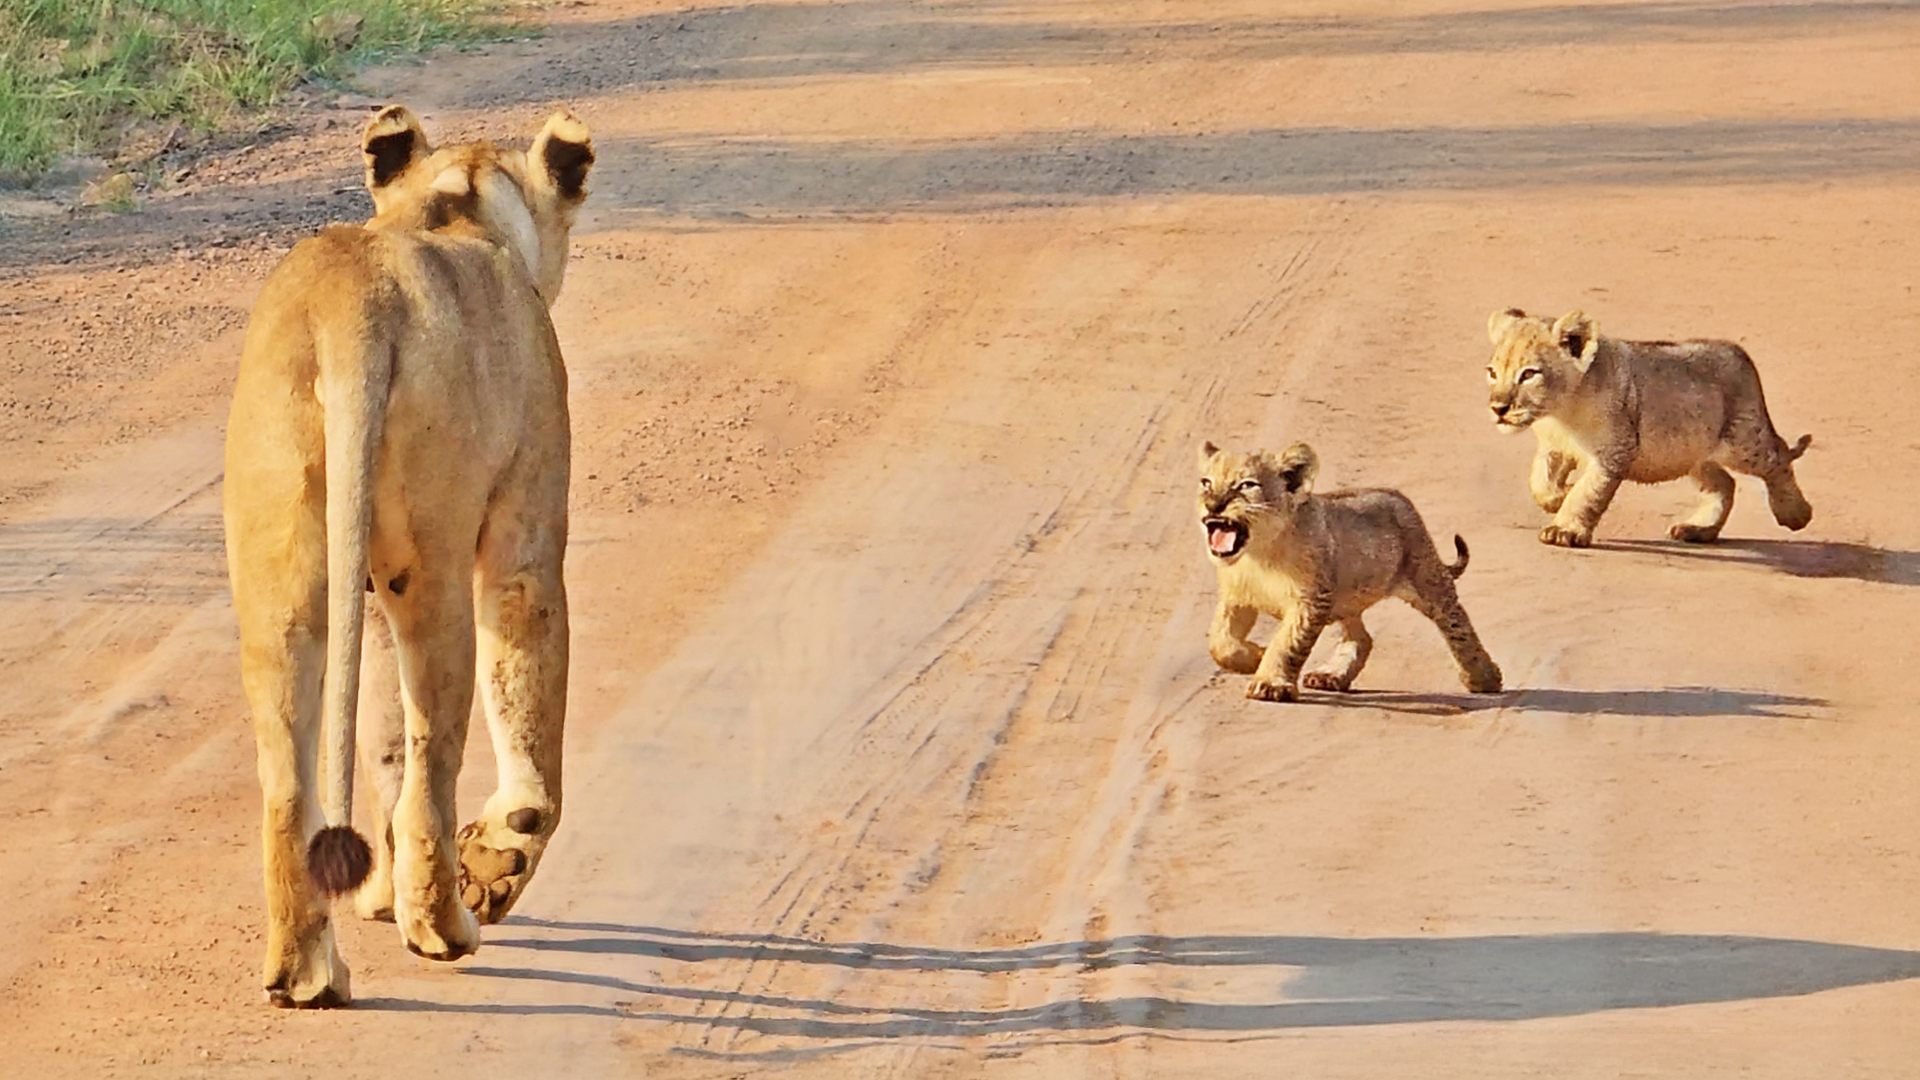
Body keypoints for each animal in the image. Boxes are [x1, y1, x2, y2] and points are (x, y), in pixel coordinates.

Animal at [222, 105, 593, 1008]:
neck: (457, 211)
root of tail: (346, 305)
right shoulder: (528, 529)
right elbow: (528, 707)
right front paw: (500, 856)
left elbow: (380, 730)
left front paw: (380, 895)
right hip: (432, 562)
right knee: (435, 759)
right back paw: (443, 924)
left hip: (282, 566)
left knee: (290, 782)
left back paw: (307, 974)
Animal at [1198, 441, 1503, 702]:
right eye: (1206, 483)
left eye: (1247, 485)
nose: (1212, 505)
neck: (1257, 555)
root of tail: (1397, 495)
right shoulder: (1237, 598)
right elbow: (1219, 642)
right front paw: (1253, 658)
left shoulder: (1310, 601)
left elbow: (1288, 643)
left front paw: (1270, 683)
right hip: (1344, 601)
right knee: (1362, 638)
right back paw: (1330, 676)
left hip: (1425, 575)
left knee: (1456, 621)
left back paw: (1484, 678)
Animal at [1486, 308, 1812, 548]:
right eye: (1492, 372)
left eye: (1528, 374)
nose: (1498, 408)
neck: (1559, 411)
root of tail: (1739, 352)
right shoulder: (1554, 447)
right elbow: (1539, 483)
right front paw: (1559, 497)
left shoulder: (1614, 451)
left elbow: (1588, 493)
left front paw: (1564, 529)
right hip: (1691, 453)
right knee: (1724, 484)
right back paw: (1698, 529)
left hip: (1743, 441)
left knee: (1778, 456)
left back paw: (1795, 514)